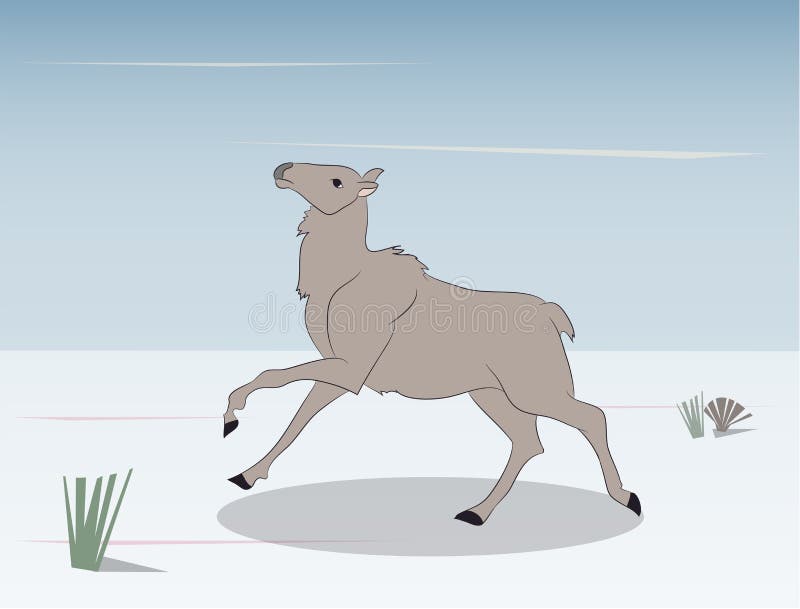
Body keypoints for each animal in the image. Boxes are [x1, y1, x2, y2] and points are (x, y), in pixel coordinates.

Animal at [224, 162, 641, 526]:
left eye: (337, 181)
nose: (283, 168)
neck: (335, 280)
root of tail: (553, 317)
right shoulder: (343, 372)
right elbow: (297, 417)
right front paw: (246, 472)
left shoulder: (353, 369)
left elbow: (275, 375)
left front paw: (232, 418)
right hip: (493, 394)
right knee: (529, 442)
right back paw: (476, 512)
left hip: (533, 389)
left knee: (592, 417)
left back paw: (626, 497)